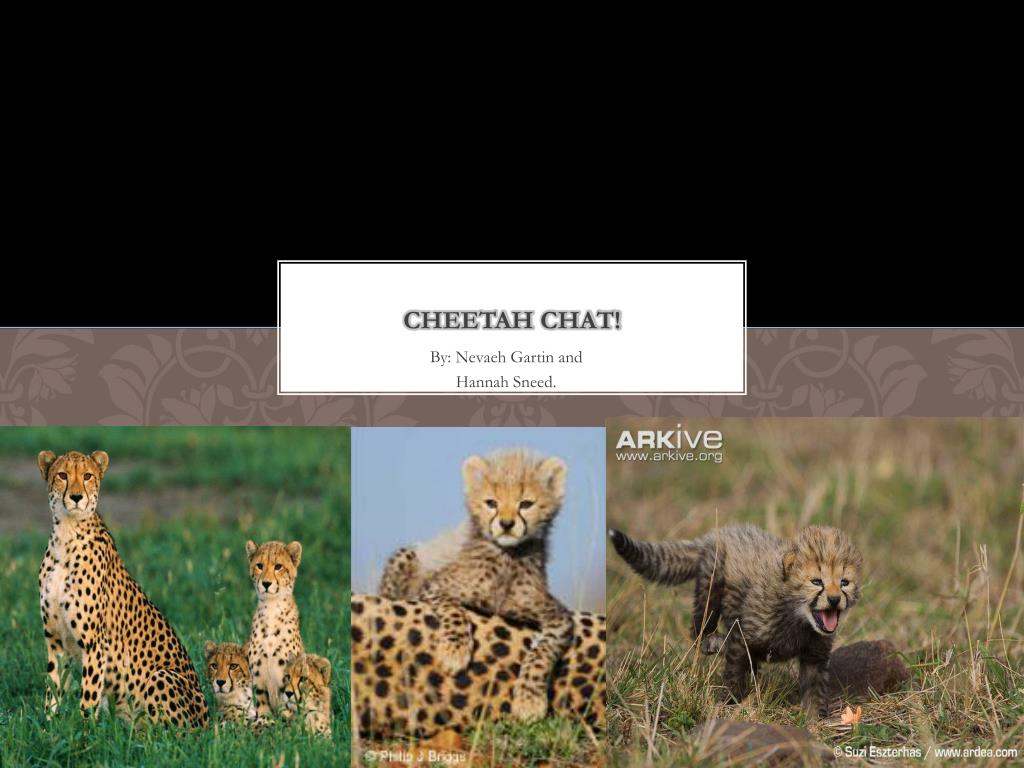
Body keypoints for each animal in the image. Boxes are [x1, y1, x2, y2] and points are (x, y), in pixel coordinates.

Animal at [36, 450, 208, 727]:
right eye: (62, 475)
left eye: (87, 476)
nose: (76, 497)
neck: (67, 534)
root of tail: (207, 722)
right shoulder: (55, 640)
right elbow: (53, 687)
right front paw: (49, 725)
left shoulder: (95, 644)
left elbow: (88, 696)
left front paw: (84, 730)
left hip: (160, 676)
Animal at [246, 539, 304, 720]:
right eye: (259, 565)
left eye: (278, 566)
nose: (266, 583)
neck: (272, 609)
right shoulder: (258, 676)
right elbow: (262, 702)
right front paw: (265, 719)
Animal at [378, 449, 574, 722]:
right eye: (491, 502)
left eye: (526, 504)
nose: (506, 524)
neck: (507, 558)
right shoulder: (435, 587)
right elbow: (455, 612)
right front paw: (454, 651)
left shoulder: (558, 616)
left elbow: (542, 652)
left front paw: (529, 699)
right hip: (407, 555)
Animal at [610, 523, 863, 718]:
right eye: (816, 582)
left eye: (844, 583)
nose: (834, 600)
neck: (798, 617)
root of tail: (723, 531)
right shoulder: (744, 637)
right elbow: (734, 671)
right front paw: (729, 703)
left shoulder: (815, 655)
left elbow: (814, 687)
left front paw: (814, 719)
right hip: (711, 586)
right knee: (699, 631)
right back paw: (713, 642)